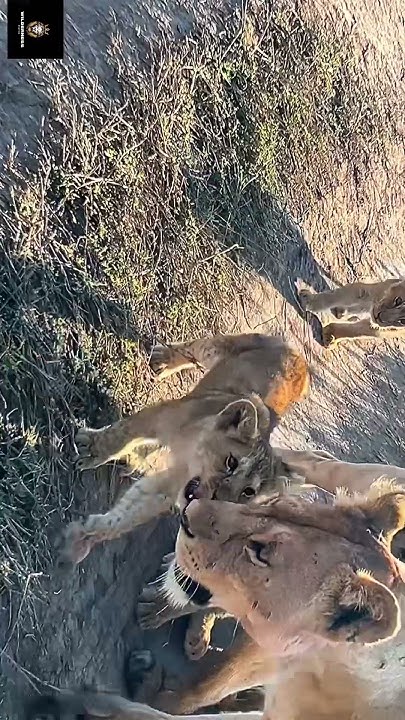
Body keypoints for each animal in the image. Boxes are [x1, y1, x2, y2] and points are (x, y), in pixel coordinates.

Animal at [60, 333, 309, 565]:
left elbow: (124, 519)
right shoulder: (157, 418)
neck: (187, 459)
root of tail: (303, 363)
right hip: (216, 348)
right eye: (231, 463)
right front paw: (90, 449)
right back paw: (161, 359)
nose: (216, 500)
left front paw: (82, 538)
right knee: (194, 348)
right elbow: (119, 437)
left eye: (249, 493)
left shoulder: (164, 489)